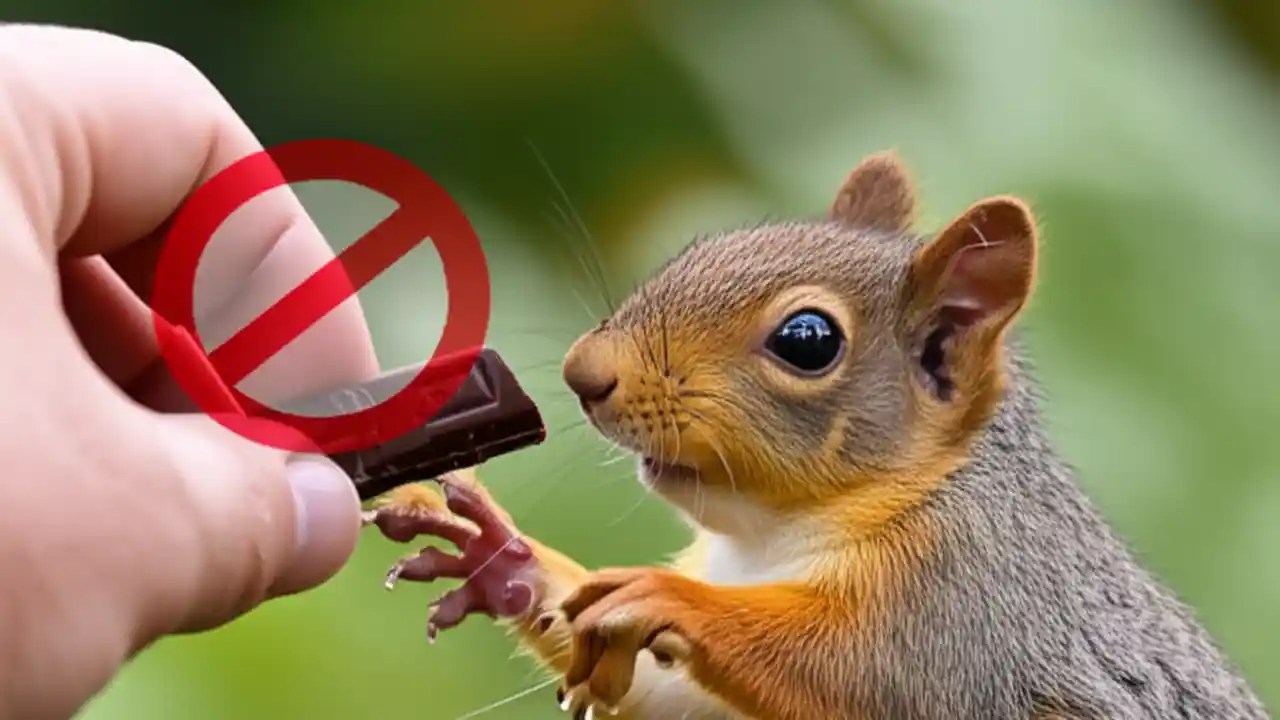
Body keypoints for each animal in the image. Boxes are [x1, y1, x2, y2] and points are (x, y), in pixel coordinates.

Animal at [364, 150, 1270, 720]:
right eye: (701, 245)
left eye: (808, 340)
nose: (585, 373)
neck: (774, 538)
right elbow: (662, 693)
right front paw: (497, 556)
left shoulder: (970, 602)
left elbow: (850, 671)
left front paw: (666, 597)